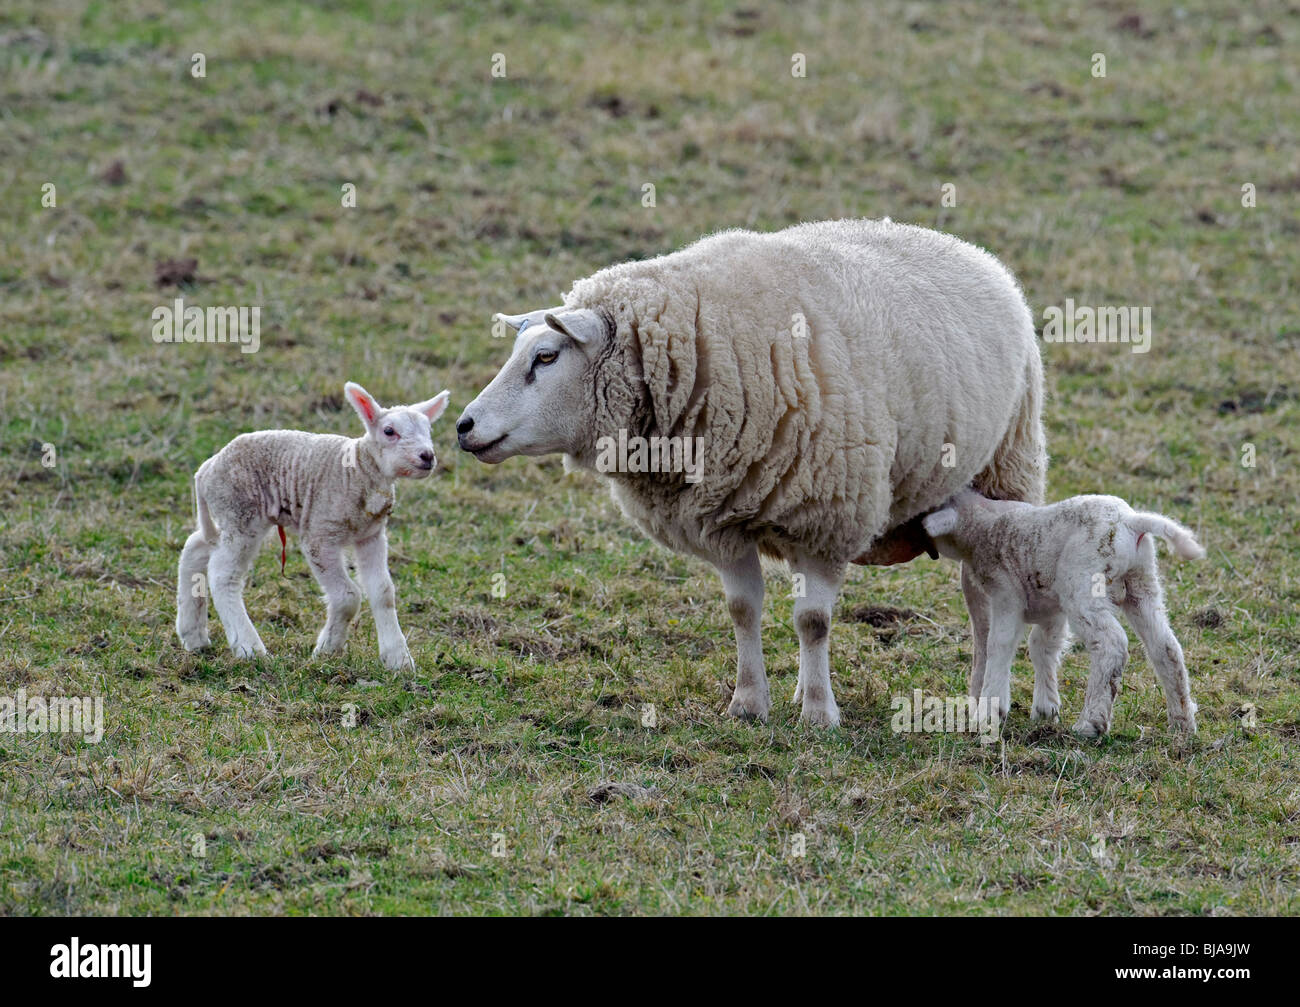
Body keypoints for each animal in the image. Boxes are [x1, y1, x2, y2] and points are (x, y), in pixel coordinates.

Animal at [175, 382, 450, 670]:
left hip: (228, 518)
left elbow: (384, 592)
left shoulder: (370, 535)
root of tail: (207, 467)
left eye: (428, 430)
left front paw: (398, 659)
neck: (359, 471)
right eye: (389, 431)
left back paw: (193, 636)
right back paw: (250, 648)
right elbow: (348, 596)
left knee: (195, 546)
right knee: (222, 575)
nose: (427, 456)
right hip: (240, 513)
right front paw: (328, 649)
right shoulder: (320, 533)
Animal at [456, 218, 1046, 726]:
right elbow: (742, 610)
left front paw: (818, 715)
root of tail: (970, 250)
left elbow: (813, 621)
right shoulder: (721, 521)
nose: (464, 426)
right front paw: (748, 703)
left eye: (546, 357)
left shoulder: (825, 515)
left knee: (981, 603)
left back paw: (985, 696)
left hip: (1005, 472)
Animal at [921, 488, 1203, 736]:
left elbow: (999, 645)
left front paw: (991, 710)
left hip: (1083, 584)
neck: (985, 525)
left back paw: (1090, 724)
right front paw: (1045, 709)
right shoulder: (1050, 610)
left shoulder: (1006, 595)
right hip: (1141, 584)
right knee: (1165, 647)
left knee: (1111, 644)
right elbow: (1042, 646)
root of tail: (1130, 521)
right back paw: (1181, 722)